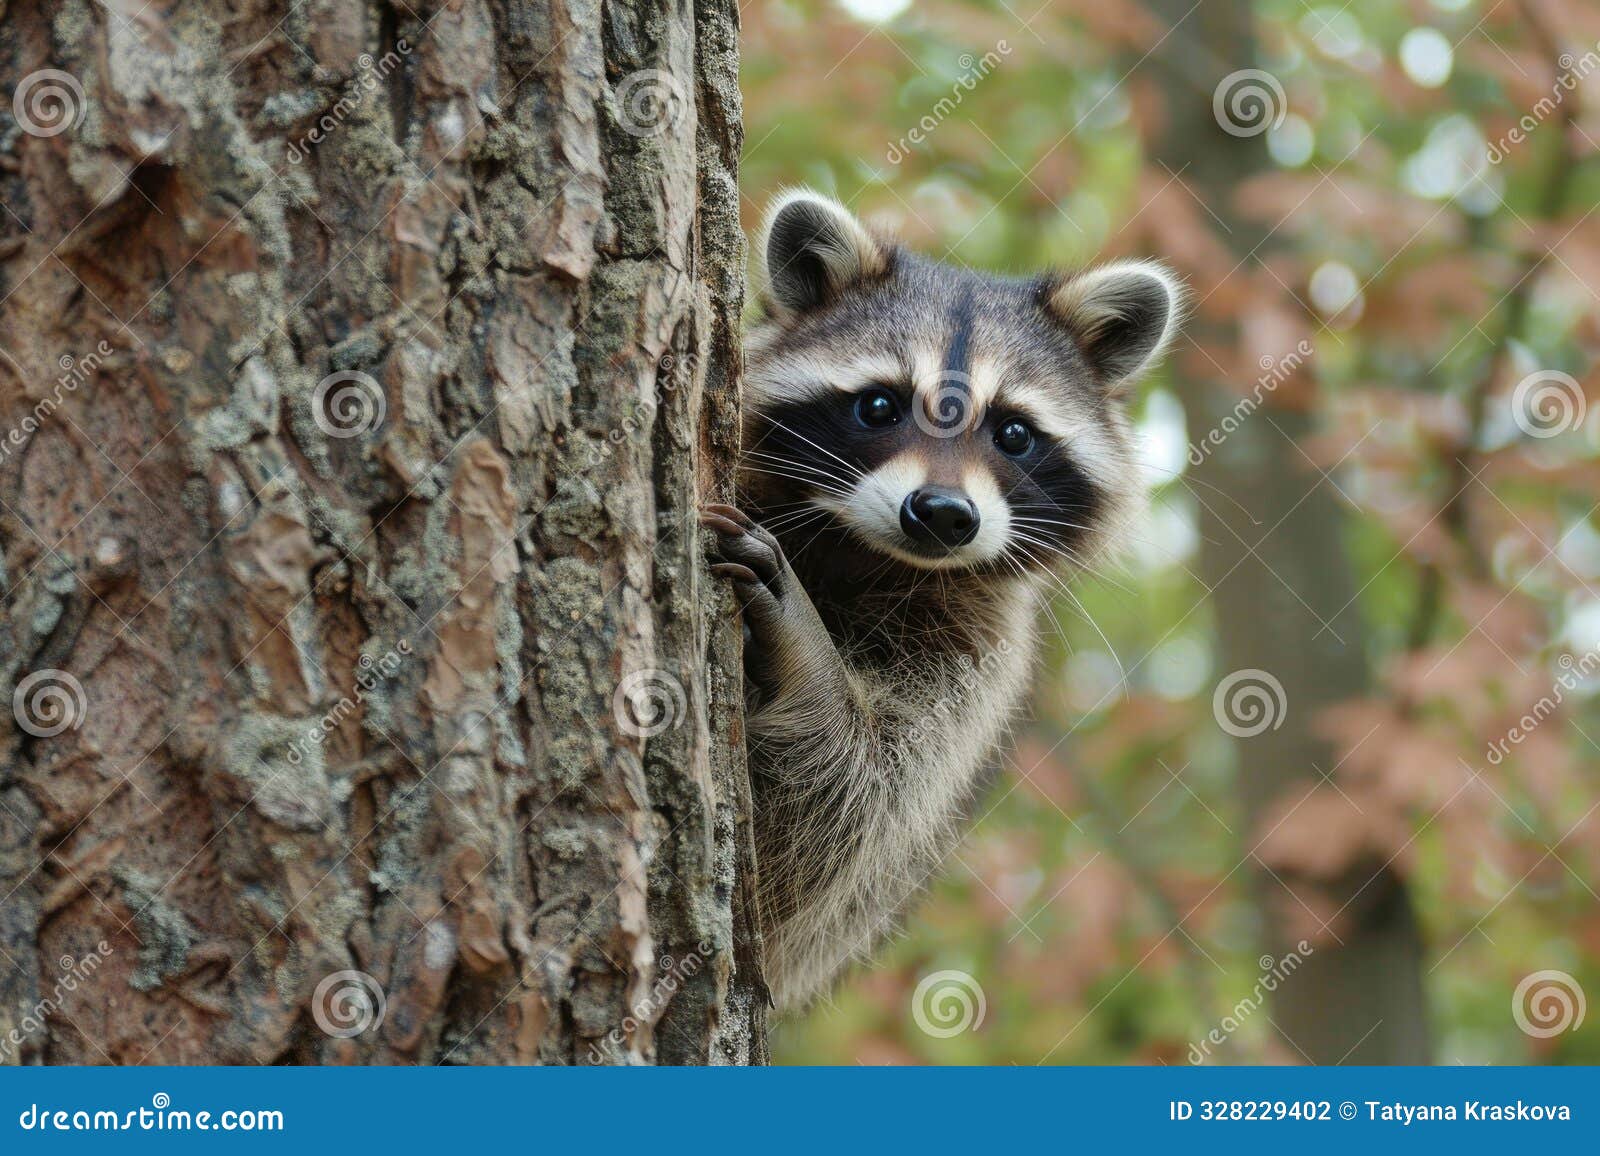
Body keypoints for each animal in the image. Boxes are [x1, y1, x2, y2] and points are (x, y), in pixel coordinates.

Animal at [703, 190, 1180, 1011]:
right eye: (879, 406)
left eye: (1014, 433)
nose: (942, 514)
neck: (862, 553)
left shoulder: (978, 651)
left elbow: (840, 825)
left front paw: (810, 665)